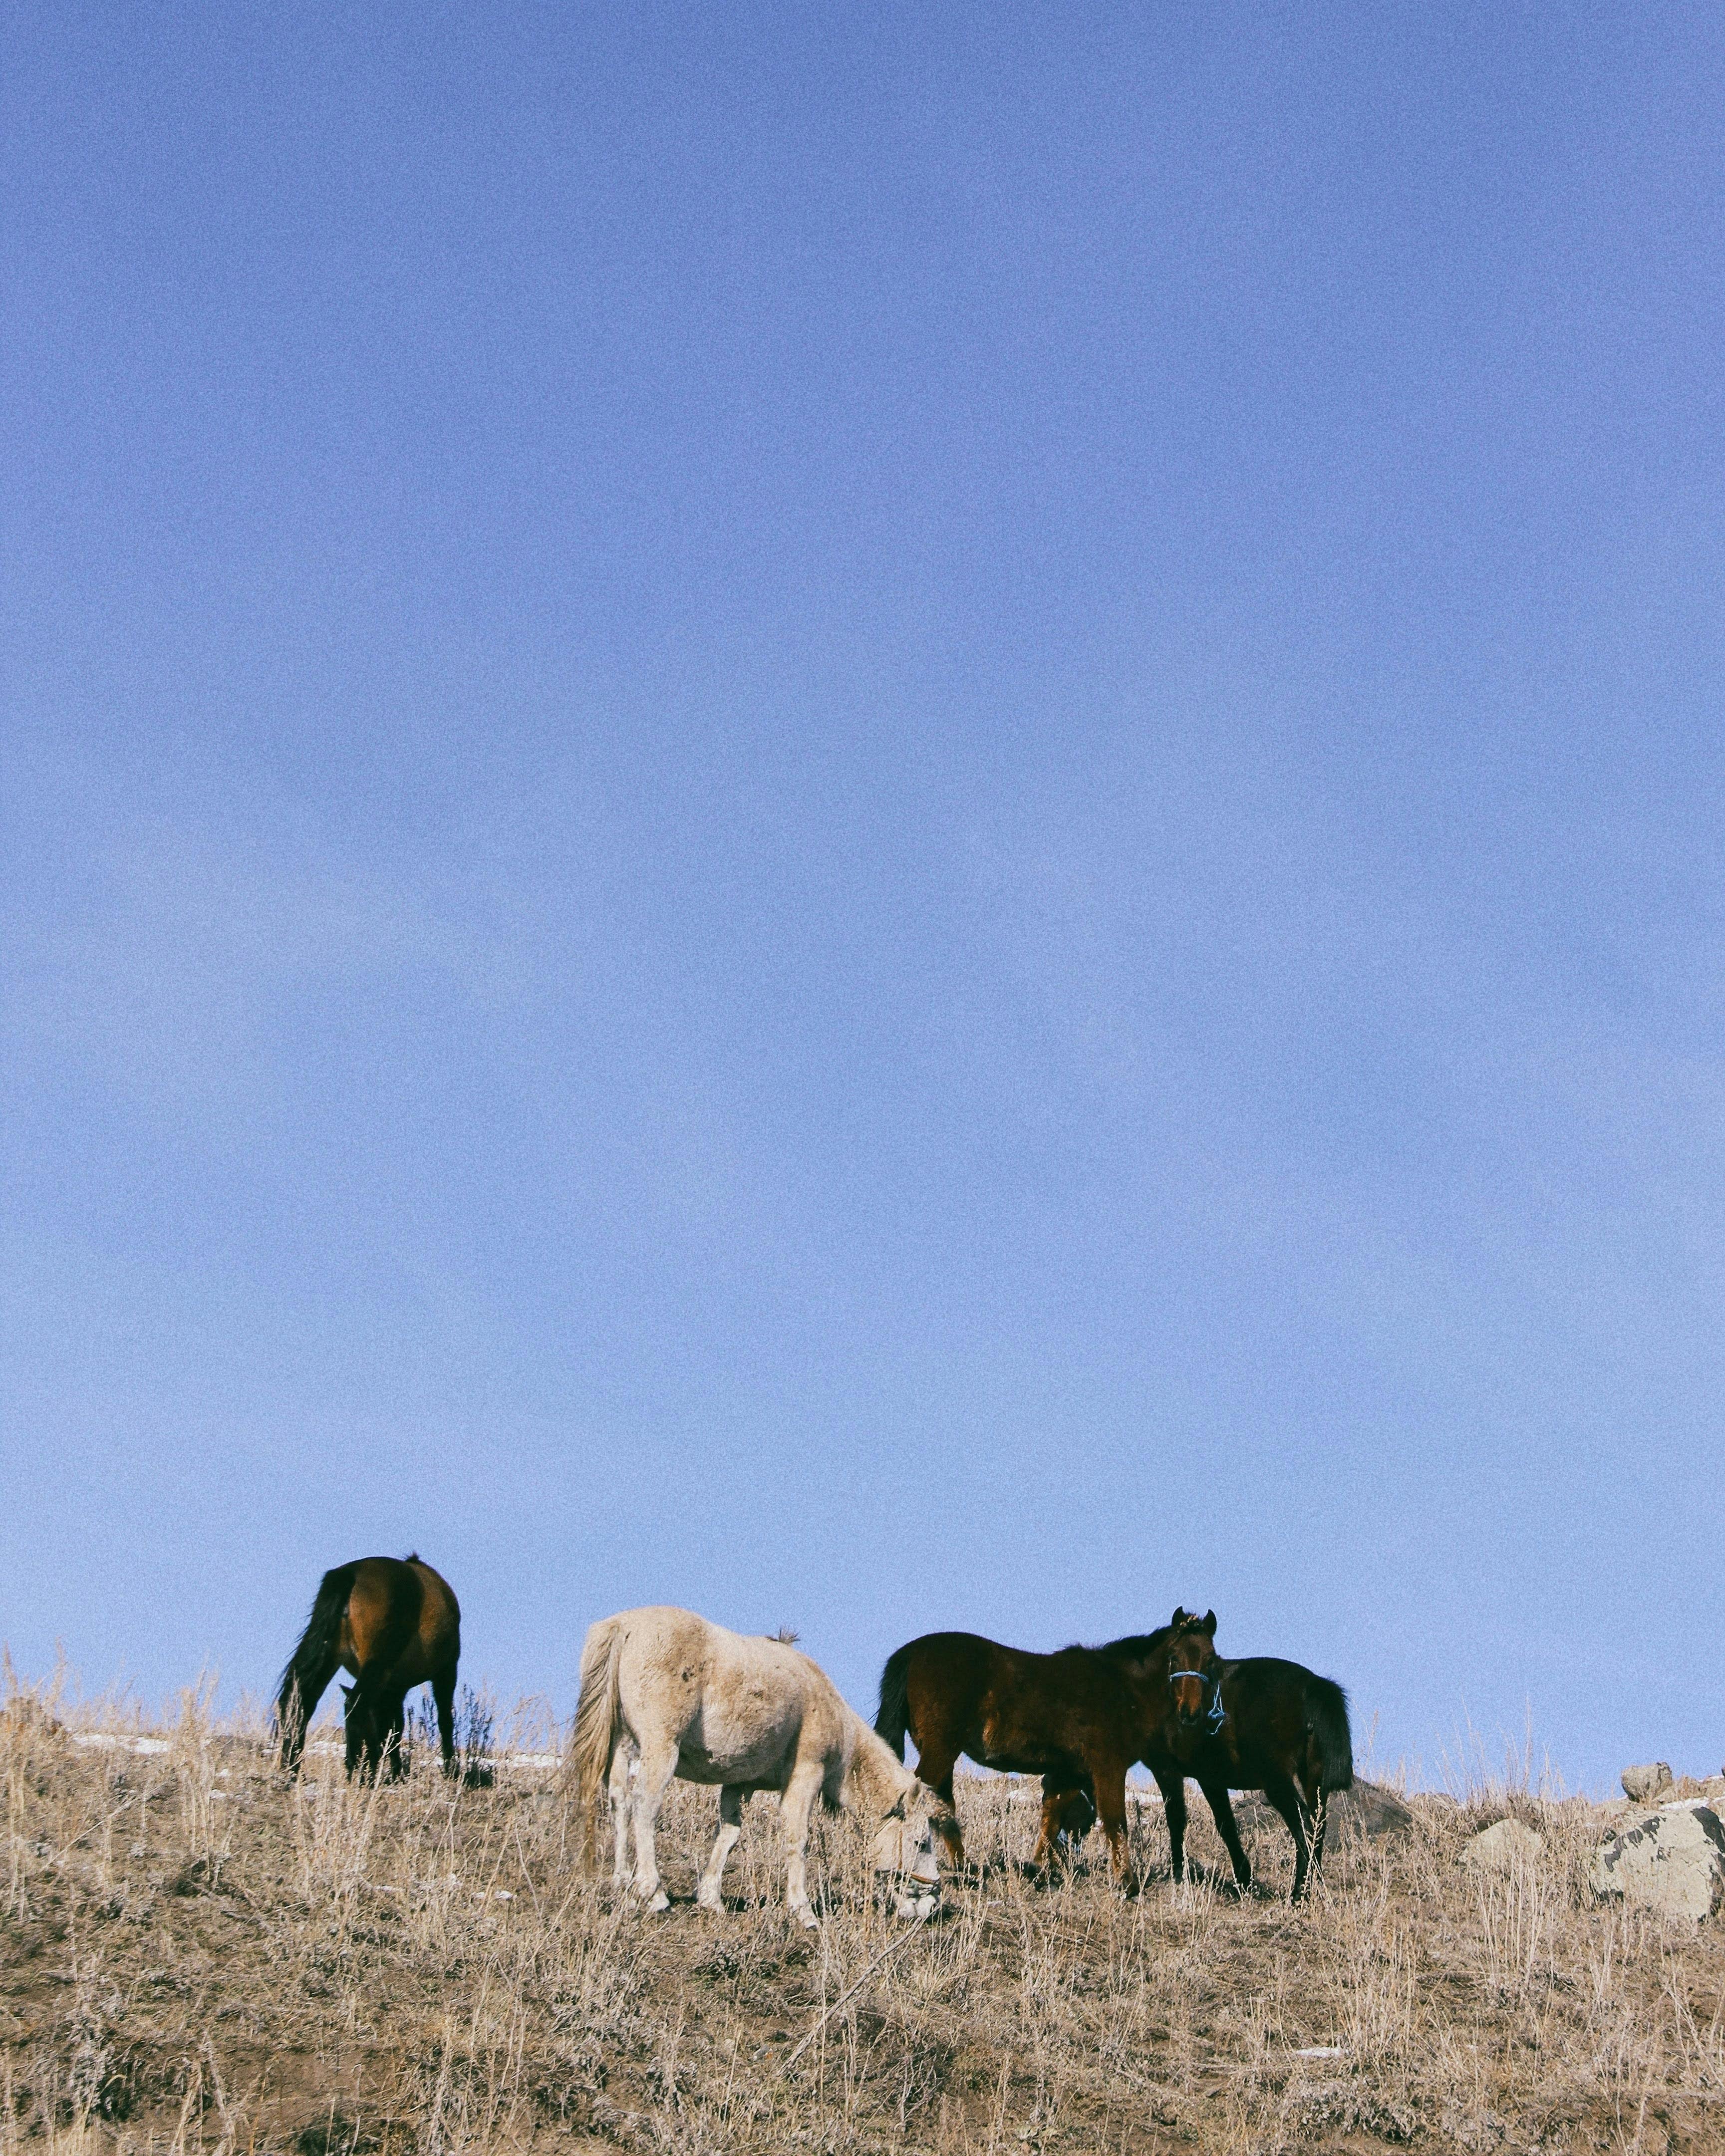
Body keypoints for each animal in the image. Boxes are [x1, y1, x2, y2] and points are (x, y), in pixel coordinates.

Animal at [275, 1554, 462, 1780]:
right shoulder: (446, 1671)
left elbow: (392, 1727)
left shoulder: (394, 1688)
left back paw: (292, 1771)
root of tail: (350, 1574)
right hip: (377, 1666)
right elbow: (444, 1721)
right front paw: (451, 1771)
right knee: (356, 1707)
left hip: (329, 1658)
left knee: (299, 1703)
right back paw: (363, 1773)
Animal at [572, 1607, 943, 1928]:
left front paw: (710, 1898)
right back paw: (653, 1893)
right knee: (644, 1807)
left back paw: (624, 1883)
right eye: (921, 1843)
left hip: (623, 1745)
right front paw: (803, 1911)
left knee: (620, 1802)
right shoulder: (806, 1776)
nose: (932, 1904)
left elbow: (728, 1835)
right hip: (660, 1748)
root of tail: (624, 1625)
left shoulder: (740, 1784)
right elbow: (797, 1839)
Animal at [873, 1622, 1179, 1883]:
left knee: (942, 1801)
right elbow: (1113, 1820)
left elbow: (1055, 1814)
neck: (1122, 1686)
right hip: (941, 1750)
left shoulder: (1072, 1772)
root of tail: (911, 1653)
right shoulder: (1107, 1768)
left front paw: (1040, 1868)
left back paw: (964, 1865)